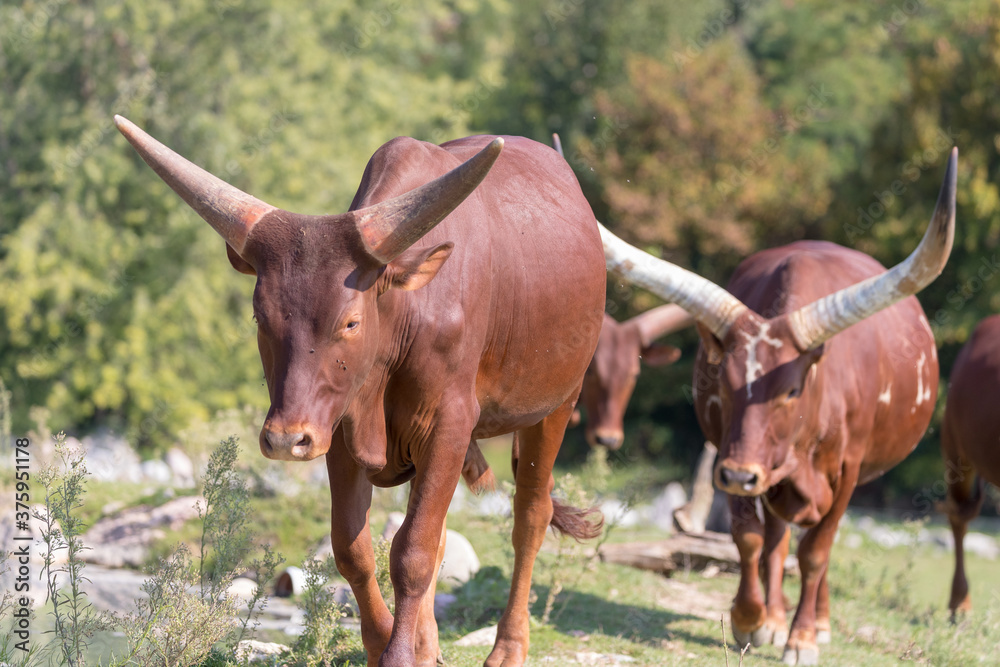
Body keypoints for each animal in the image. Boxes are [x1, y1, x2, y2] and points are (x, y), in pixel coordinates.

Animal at [115, 115, 606, 667]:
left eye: (350, 321)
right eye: (260, 316)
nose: (284, 439)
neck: (402, 315)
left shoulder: (449, 423)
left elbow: (413, 552)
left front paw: (400, 655)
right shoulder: (337, 430)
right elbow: (354, 550)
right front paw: (389, 645)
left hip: (558, 401)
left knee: (529, 516)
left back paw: (508, 646)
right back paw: (430, 643)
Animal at [600, 149, 957, 665]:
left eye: (790, 390)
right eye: (724, 382)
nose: (739, 475)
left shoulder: (847, 469)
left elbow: (816, 551)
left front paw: (802, 637)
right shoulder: (727, 454)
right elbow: (752, 539)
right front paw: (752, 618)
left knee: (814, 542)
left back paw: (818, 622)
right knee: (776, 539)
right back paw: (773, 613)